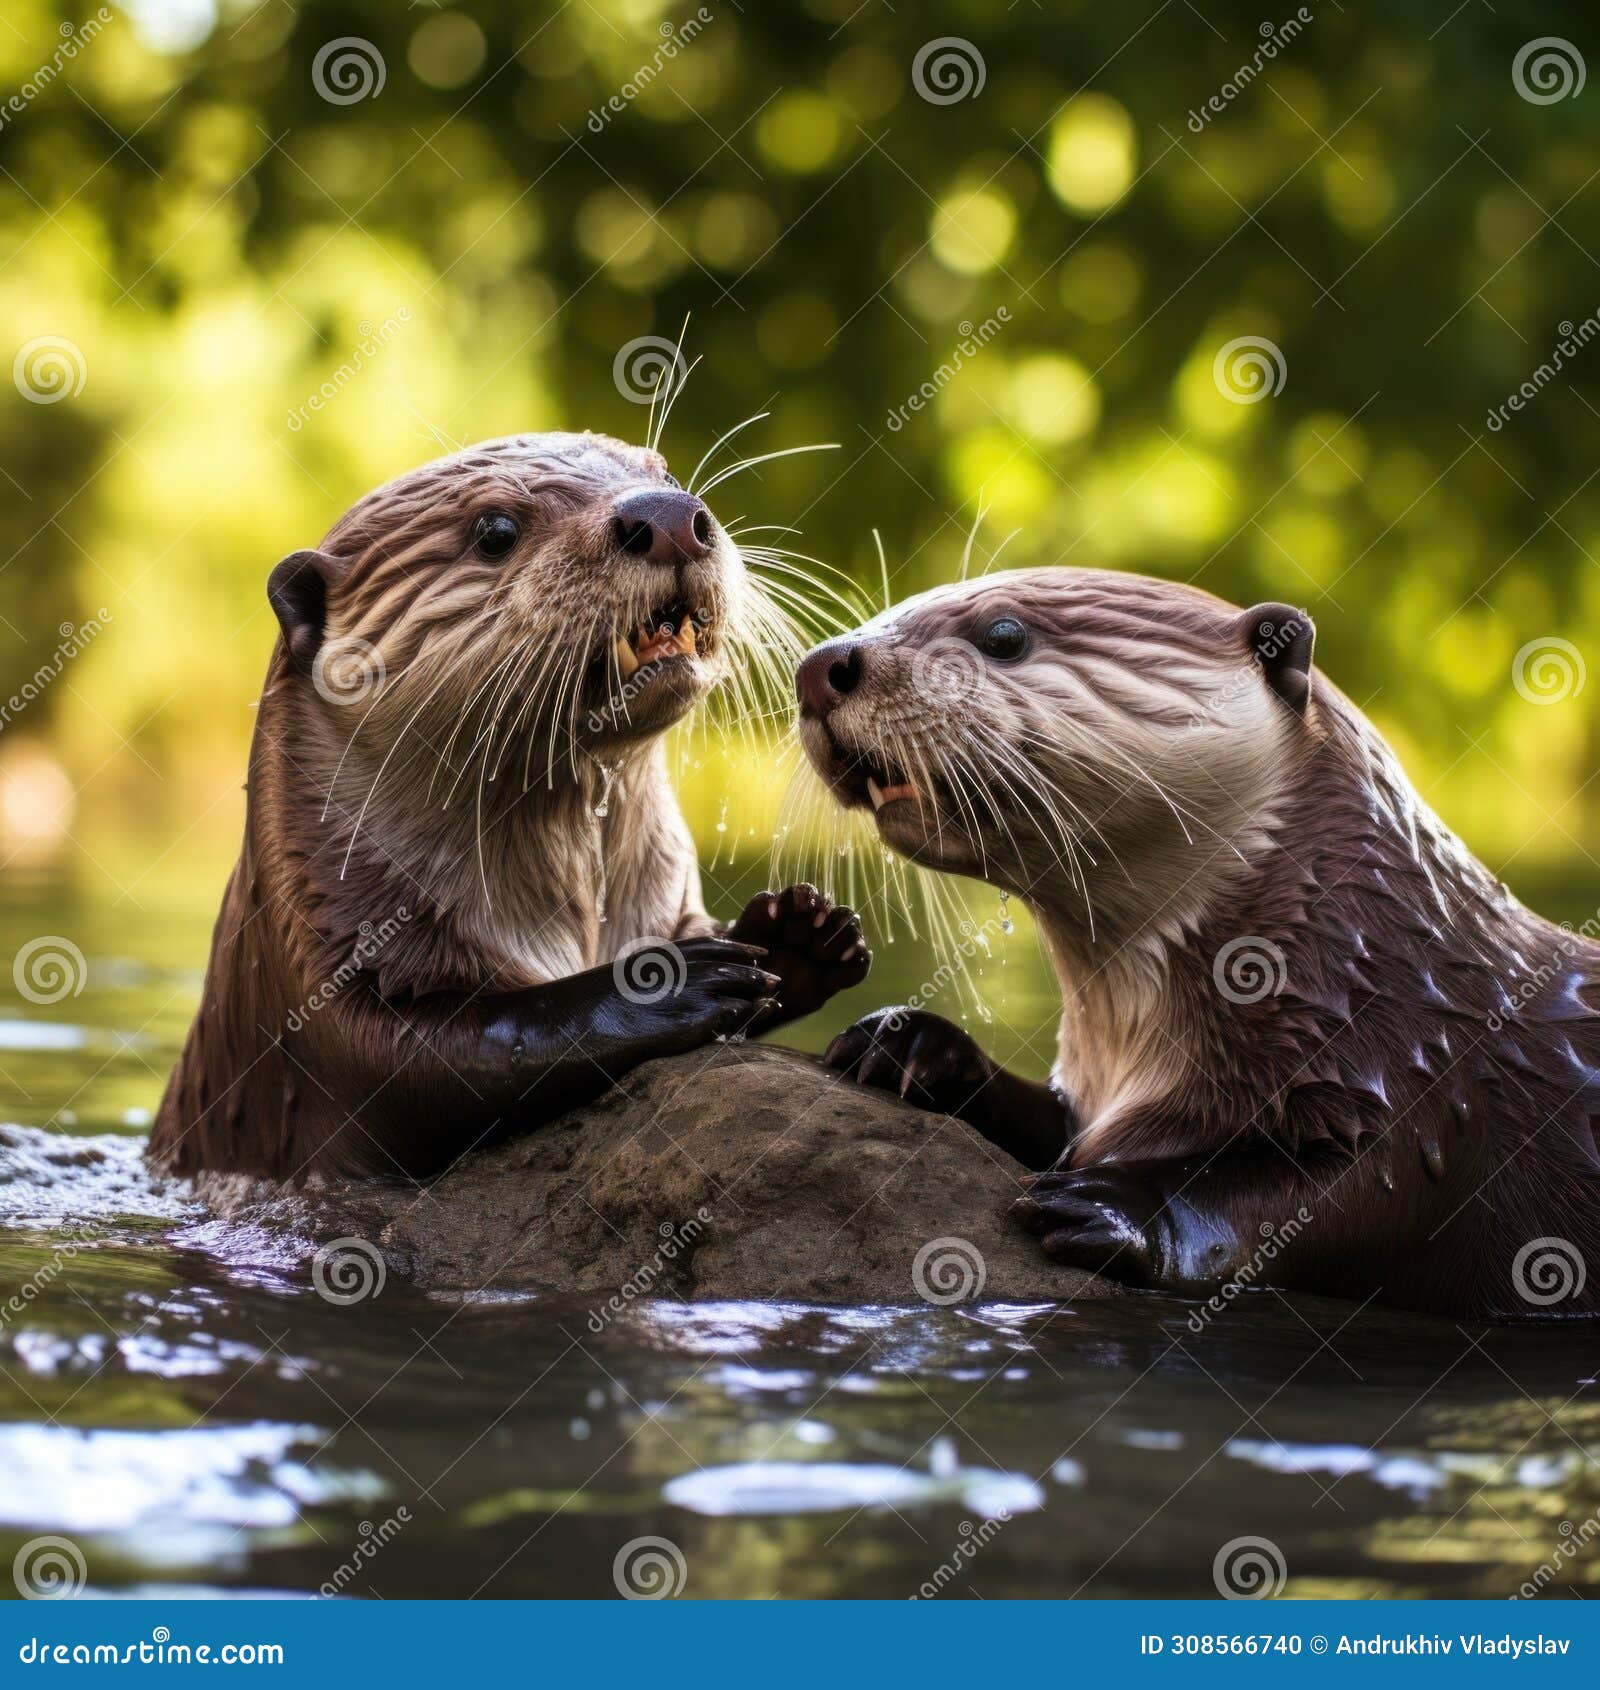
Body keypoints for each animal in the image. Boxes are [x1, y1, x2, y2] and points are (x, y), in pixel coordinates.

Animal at [151, 431, 868, 1184]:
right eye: (495, 530)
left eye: (666, 476)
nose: (669, 517)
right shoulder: (323, 963)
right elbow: (453, 1052)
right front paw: (671, 982)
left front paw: (799, 932)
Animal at [799, 568, 1600, 1320]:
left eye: (1002, 635)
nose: (819, 667)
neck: (1368, 969)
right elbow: (1054, 1125)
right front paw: (910, 1044)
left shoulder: (1425, 1094)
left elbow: (1337, 1195)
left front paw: (1118, 1208)